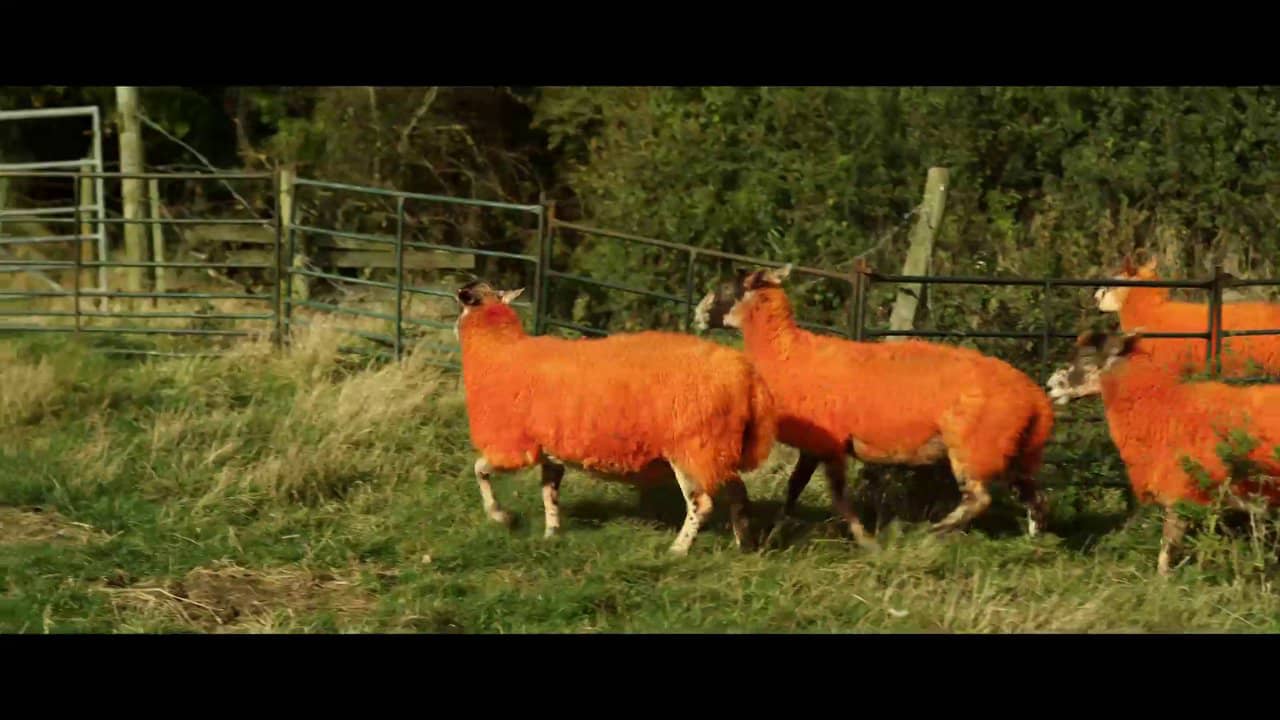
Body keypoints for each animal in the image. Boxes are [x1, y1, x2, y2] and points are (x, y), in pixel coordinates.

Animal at [453, 280, 777, 555]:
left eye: (465, 304)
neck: (499, 351)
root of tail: (747, 376)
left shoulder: (514, 447)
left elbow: (479, 470)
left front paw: (500, 516)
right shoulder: (550, 452)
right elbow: (549, 493)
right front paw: (551, 533)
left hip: (693, 448)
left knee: (702, 503)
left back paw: (678, 549)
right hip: (720, 449)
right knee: (738, 492)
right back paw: (745, 543)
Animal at [693, 265, 1054, 545]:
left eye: (726, 288)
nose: (697, 314)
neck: (786, 354)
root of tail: (1037, 399)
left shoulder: (827, 444)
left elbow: (836, 497)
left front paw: (867, 541)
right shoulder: (816, 446)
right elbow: (794, 489)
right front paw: (774, 535)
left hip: (973, 447)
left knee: (979, 499)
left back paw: (931, 532)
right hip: (1012, 450)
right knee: (1035, 498)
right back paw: (1035, 545)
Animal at [1053, 329, 1280, 574]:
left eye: (1086, 356)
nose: (1050, 387)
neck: (1163, 406)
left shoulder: (1179, 489)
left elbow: (1168, 546)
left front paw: (1163, 581)